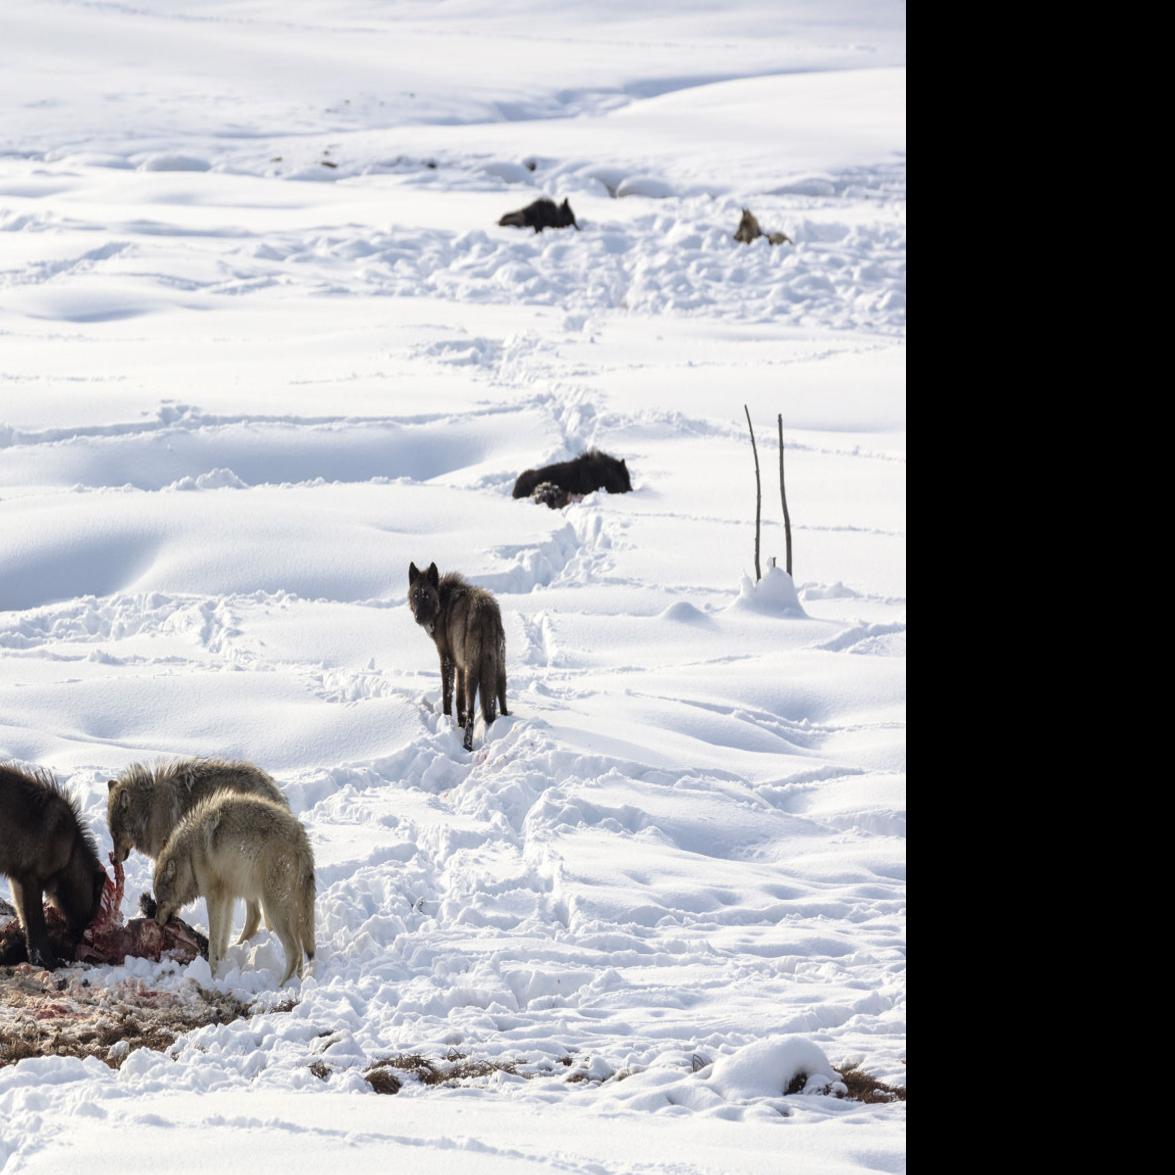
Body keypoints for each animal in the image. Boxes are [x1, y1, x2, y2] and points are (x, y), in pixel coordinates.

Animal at [0, 764, 107, 969]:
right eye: (91, 916)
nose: (76, 943)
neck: (70, 852)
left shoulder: (18, 881)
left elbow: (24, 921)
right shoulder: (31, 880)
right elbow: (37, 928)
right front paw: (46, 961)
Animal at [108, 758, 287, 944]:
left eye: (115, 833)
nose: (114, 860)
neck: (149, 810)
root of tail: (273, 792)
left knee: (255, 915)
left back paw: (239, 944)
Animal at [153, 792, 315, 985]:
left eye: (161, 901)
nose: (155, 922)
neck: (190, 854)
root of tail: (301, 842)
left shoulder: (214, 897)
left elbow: (214, 940)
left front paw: (212, 971)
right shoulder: (227, 897)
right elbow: (223, 937)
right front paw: (222, 962)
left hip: (273, 909)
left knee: (295, 952)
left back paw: (281, 986)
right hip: (289, 911)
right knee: (300, 950)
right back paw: (297, 983)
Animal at [408, 562, 508, 751]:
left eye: (426, 595)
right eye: (415, 594)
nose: (418, 617)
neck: (442, 602)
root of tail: (485, 610)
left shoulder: (447, 660)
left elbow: (448, 695)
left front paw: (446, 719)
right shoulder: (460, 666)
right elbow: (459, 700)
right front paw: (458, 723)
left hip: (473, 673)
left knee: (472, 712)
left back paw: (467, 745)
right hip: (499, 668)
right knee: (501, 700)